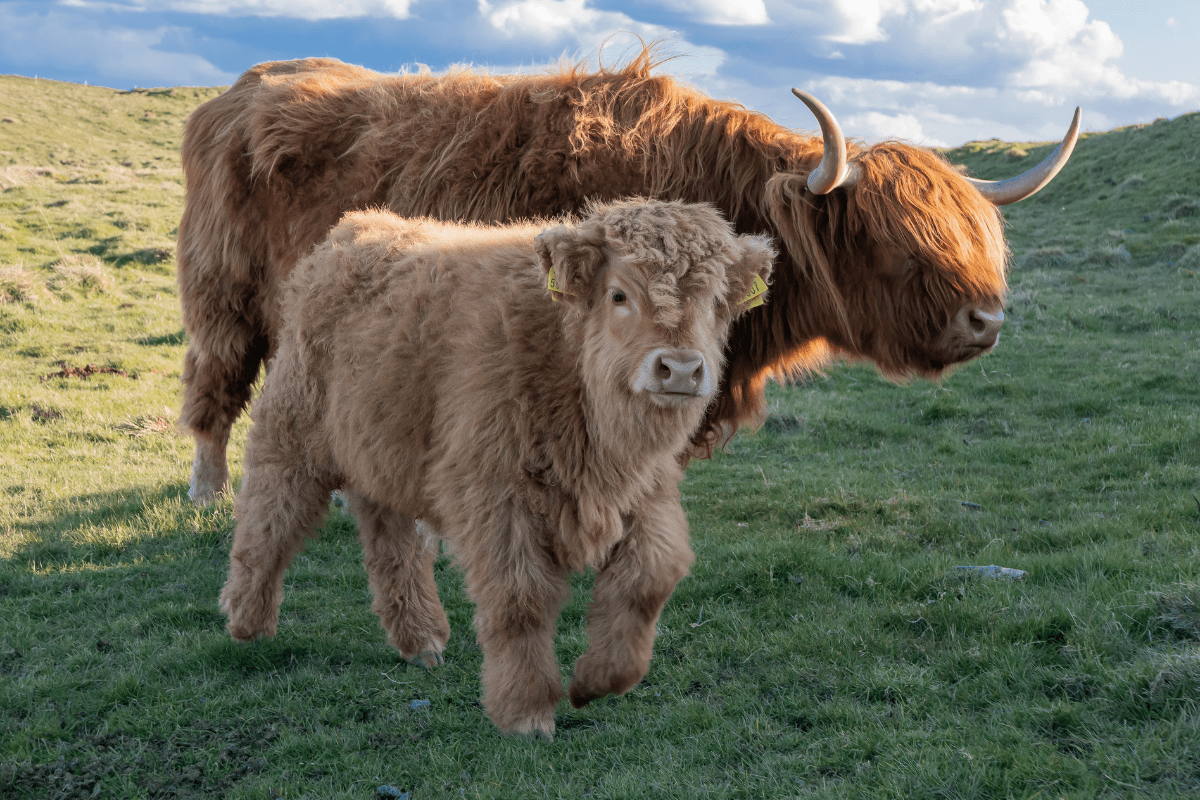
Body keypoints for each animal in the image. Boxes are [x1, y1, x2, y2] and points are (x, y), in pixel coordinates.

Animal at [178, 50, 1080, 502]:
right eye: (891, 241)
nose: (986, 321)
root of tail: (247, 85)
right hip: (224, 295)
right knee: (215, 388)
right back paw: (206, 490)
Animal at [219, 200, 777, 738]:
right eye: (619, 295)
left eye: (714, 302)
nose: (680, 368)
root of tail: (353, 230)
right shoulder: (495, 493)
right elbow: (519, 601)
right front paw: (526, 714)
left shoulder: (645, 490)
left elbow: (650, 577)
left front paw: (598, 680)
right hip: (293, 434)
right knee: (268, 520)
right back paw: (247, 623)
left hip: (385, 452)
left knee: (393, 545)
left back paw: (421, 640)